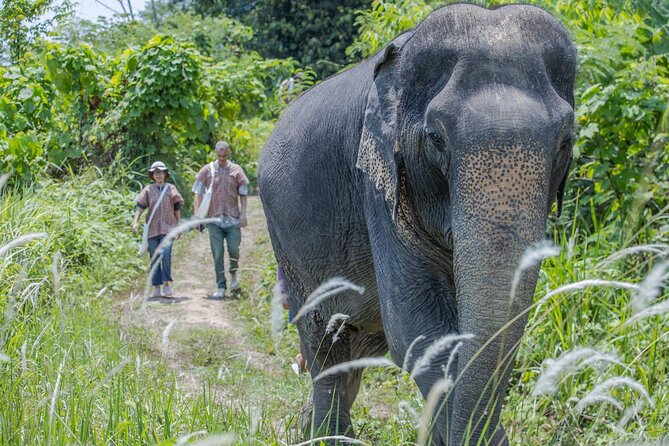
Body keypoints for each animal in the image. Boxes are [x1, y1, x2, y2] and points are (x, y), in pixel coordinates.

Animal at [258, 3, 576, 445]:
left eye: (565, 141)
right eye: (436, 139)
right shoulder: (378, 182)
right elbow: (414, 321)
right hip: (285, 240)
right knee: (323, 339)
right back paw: (325, 435)